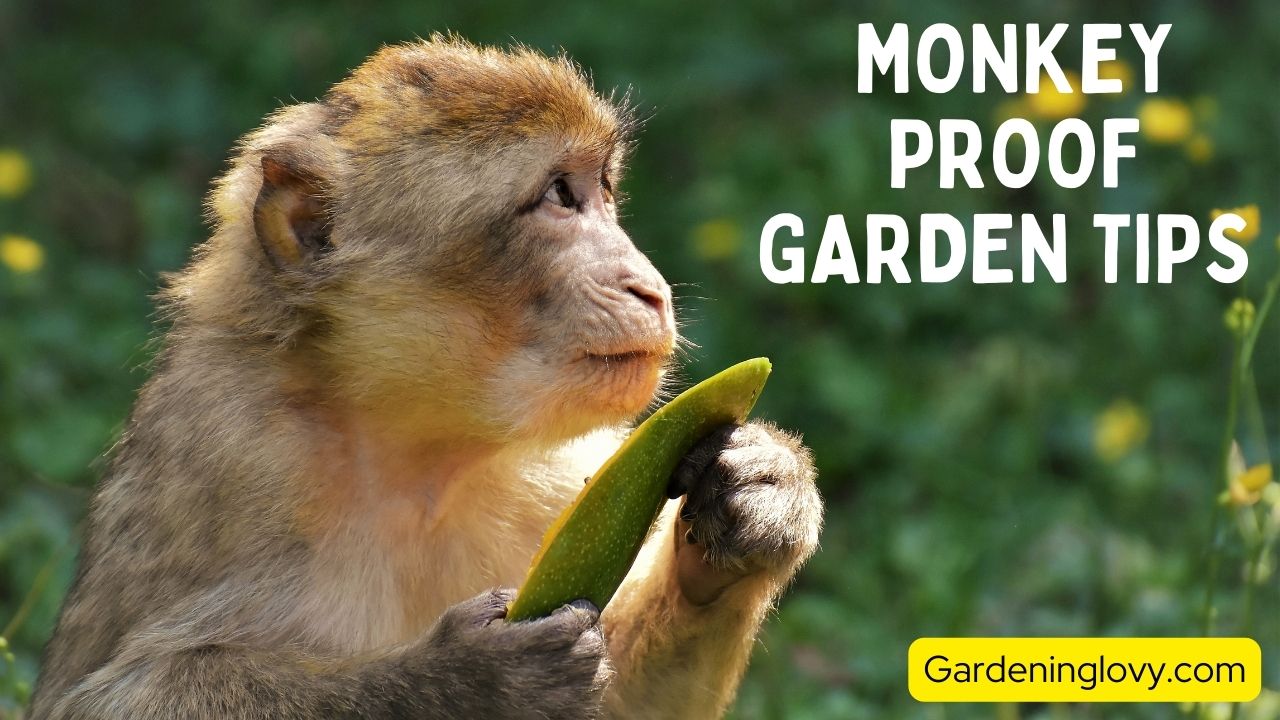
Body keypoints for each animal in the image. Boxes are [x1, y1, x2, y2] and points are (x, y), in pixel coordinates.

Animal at [29, 36, 823, 720]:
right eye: (558, 195)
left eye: (600, 188)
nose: (648, 288)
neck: (419, 454)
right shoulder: (231, 453)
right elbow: (113, 697)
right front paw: (464, 680)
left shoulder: (559, 471)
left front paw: (757, 496)